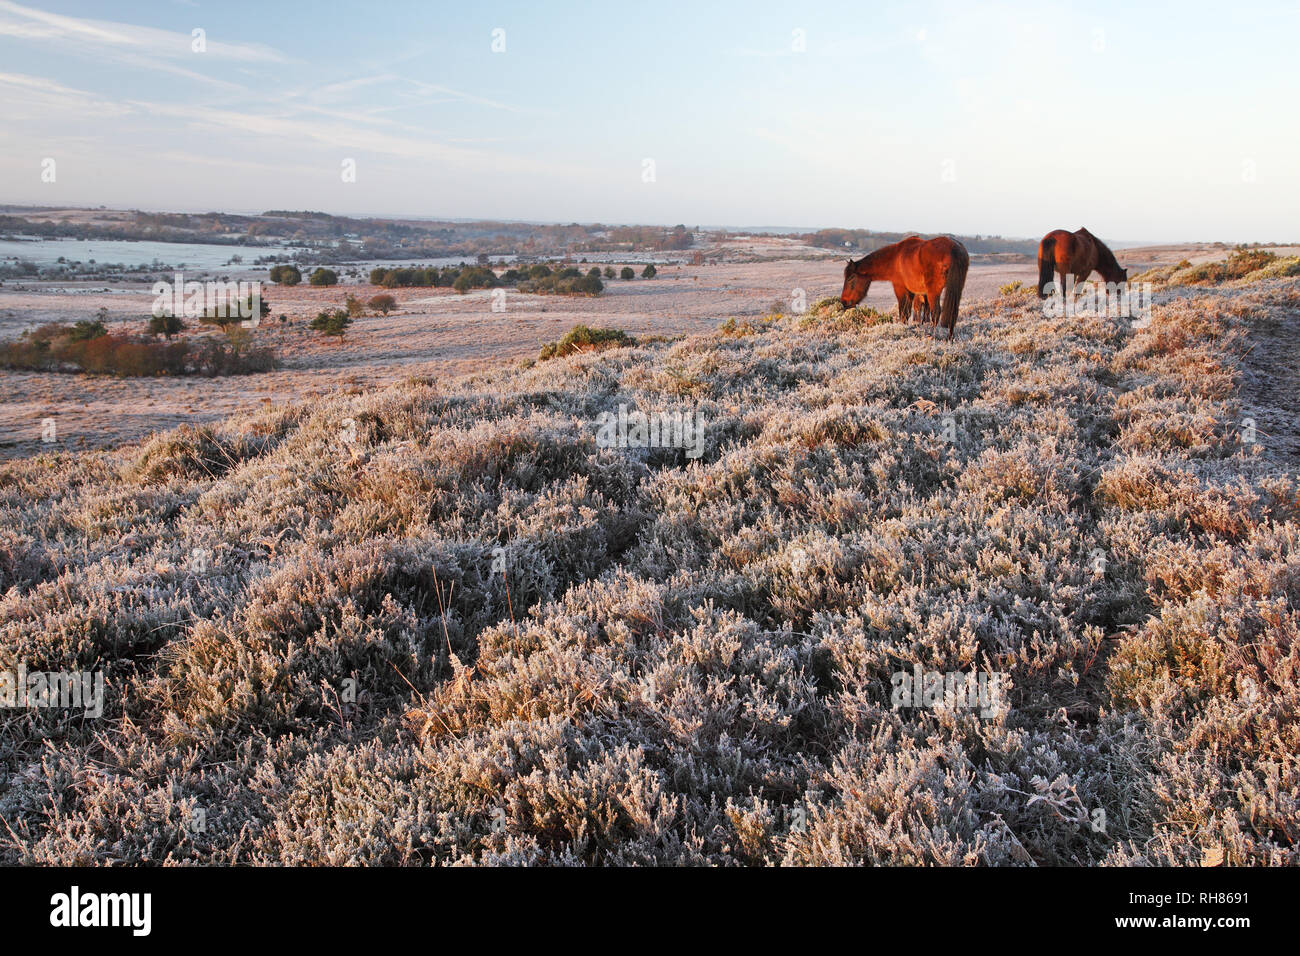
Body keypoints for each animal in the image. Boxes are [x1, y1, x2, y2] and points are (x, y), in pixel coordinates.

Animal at [840, 236, 970, 340]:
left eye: (851, 278)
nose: (844, 302)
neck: (895, 258)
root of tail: (954, 248)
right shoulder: (912, 293)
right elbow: (909, 313)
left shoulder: (901, 289)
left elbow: (903, 314)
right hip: (956, 289)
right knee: (953, 313)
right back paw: (950, 338)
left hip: (934, 293)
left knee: (936, 313)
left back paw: (933, 335)